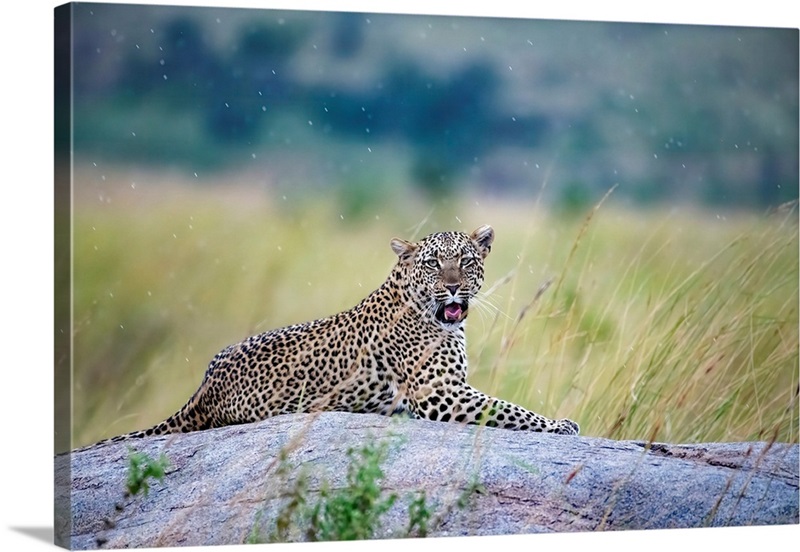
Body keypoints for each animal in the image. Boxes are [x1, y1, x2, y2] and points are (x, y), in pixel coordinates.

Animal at [91, 224, 579, 449]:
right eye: (433, 264)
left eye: (466, 261)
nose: (454, 287)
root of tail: (203, 389)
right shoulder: (440, 393)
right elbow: (509, 410)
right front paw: (561, 424)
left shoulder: (448, 390)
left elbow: (507, 407)